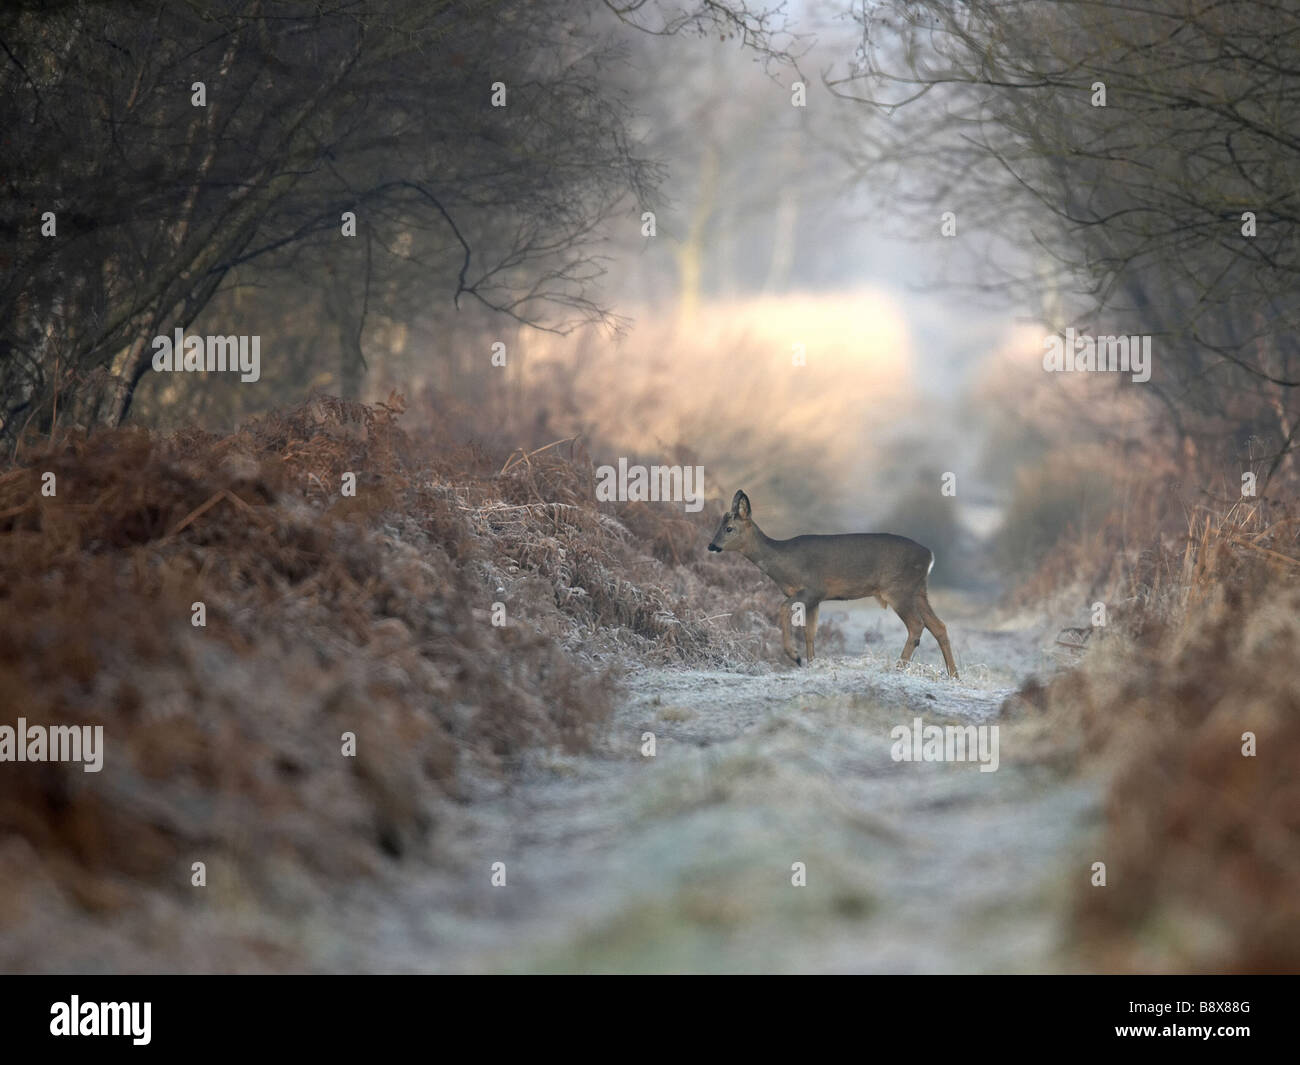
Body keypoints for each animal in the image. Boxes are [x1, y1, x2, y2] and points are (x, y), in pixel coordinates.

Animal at [707, 490, 958, 678]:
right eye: (719, 525)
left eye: (729, 528)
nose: (711, 545)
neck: (784, 561)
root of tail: (929, 555)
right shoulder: (815, 600)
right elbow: (810, 632)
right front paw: (810, 663)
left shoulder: (813, 589)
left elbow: (783, 608)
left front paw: (795, 655)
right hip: (918, 591)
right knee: (939, 626)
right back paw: (953, 675)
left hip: (898, 590)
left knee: (917, 625)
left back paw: (898, 668)